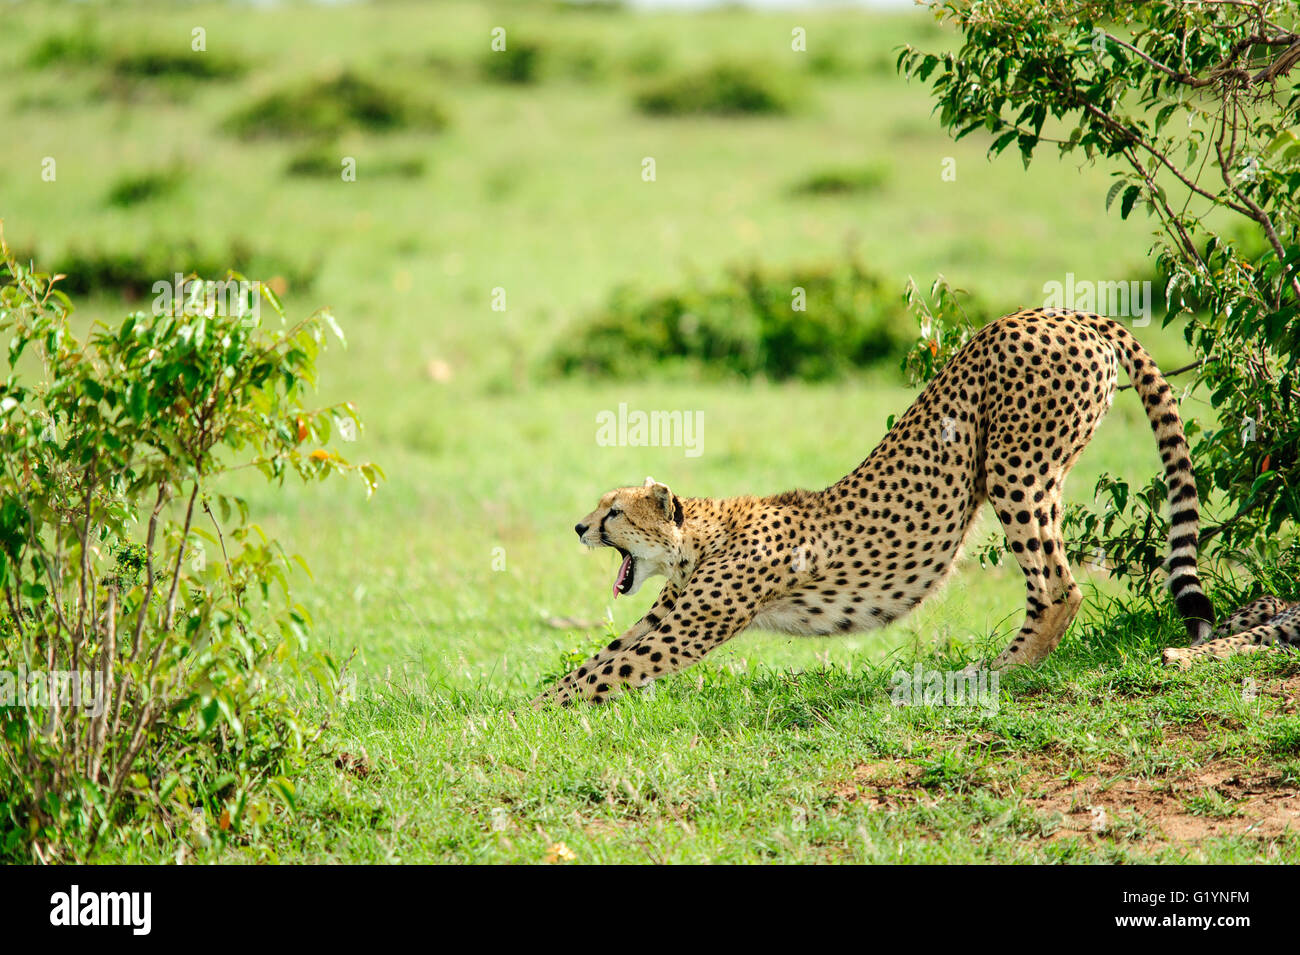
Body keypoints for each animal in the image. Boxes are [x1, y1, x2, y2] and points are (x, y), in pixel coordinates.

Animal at [535, 307, 1292, 708]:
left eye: (612, 512)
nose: (576, 526)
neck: (701, 536)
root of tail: (1065, 311)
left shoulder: (686, 627)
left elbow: (599, 674)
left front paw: (522, 715)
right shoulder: (667, 617)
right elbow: (599, 659)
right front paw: (524, 702)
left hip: (1018, 467)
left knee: (1058, 586)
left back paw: (994, 674)